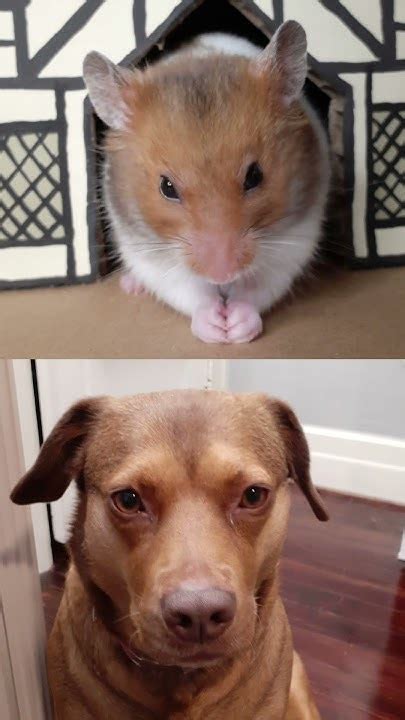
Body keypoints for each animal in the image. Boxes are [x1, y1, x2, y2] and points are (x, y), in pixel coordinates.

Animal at [83, 21, 330, 344]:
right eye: (167, 187)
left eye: (255, 176)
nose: (222, 274)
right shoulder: (148, 253)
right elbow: (190, 292)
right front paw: (215, 327)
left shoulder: (293, 242)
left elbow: (258, 287)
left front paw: (235, 327)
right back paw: (131, 285)